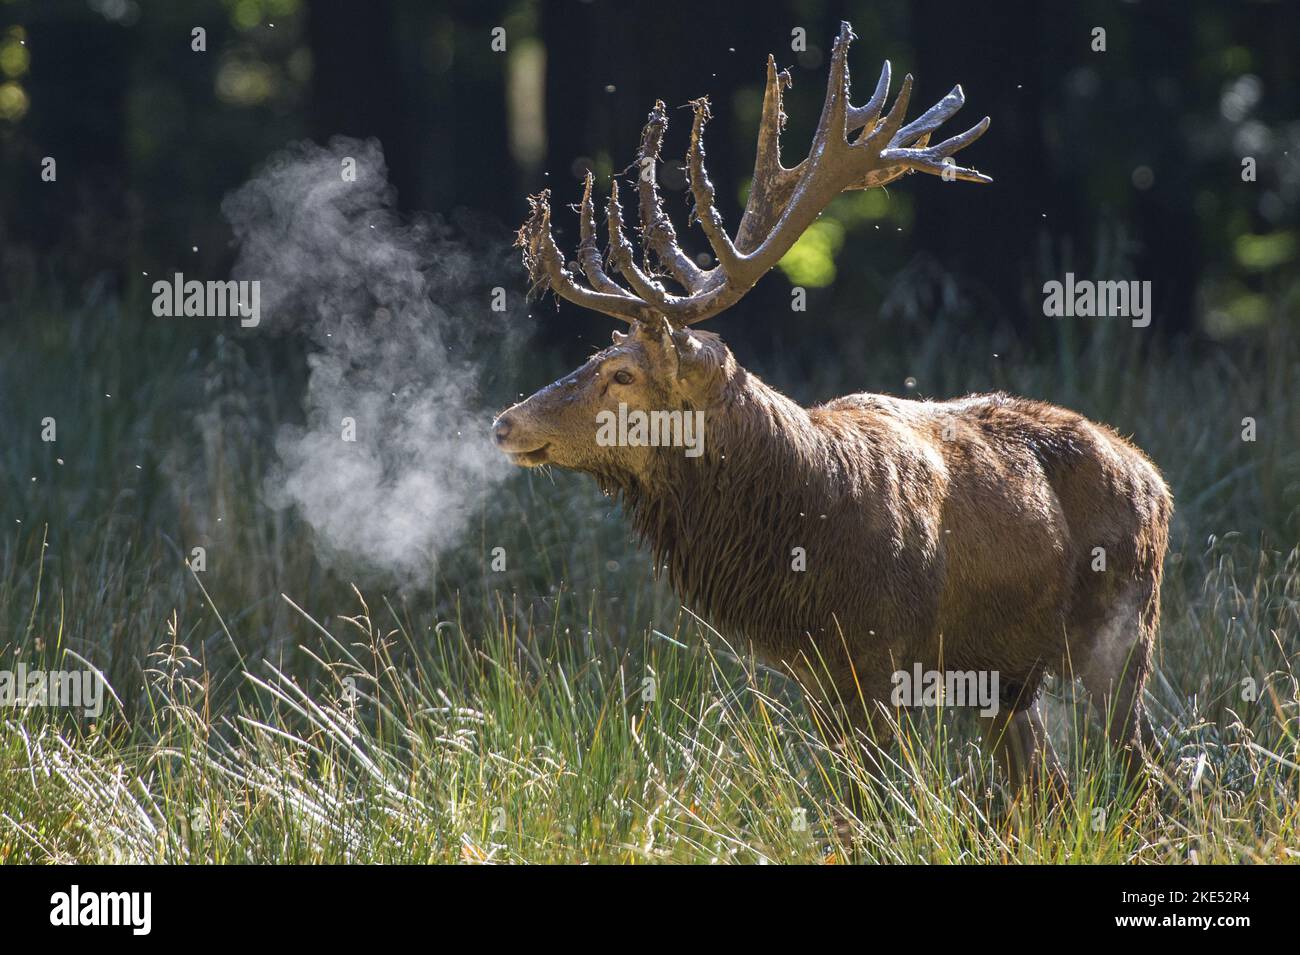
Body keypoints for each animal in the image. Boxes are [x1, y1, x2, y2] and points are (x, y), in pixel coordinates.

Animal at [492, 23, 1171, 797]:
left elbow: (878, 799)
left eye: (622, 373)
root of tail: (1157, 480)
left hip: (1124, 628)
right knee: (1045, 788)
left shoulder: (884, 653)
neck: (806, 537)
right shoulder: (819, 676)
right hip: (1006, 677)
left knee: (1149, 774)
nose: (506, 422)